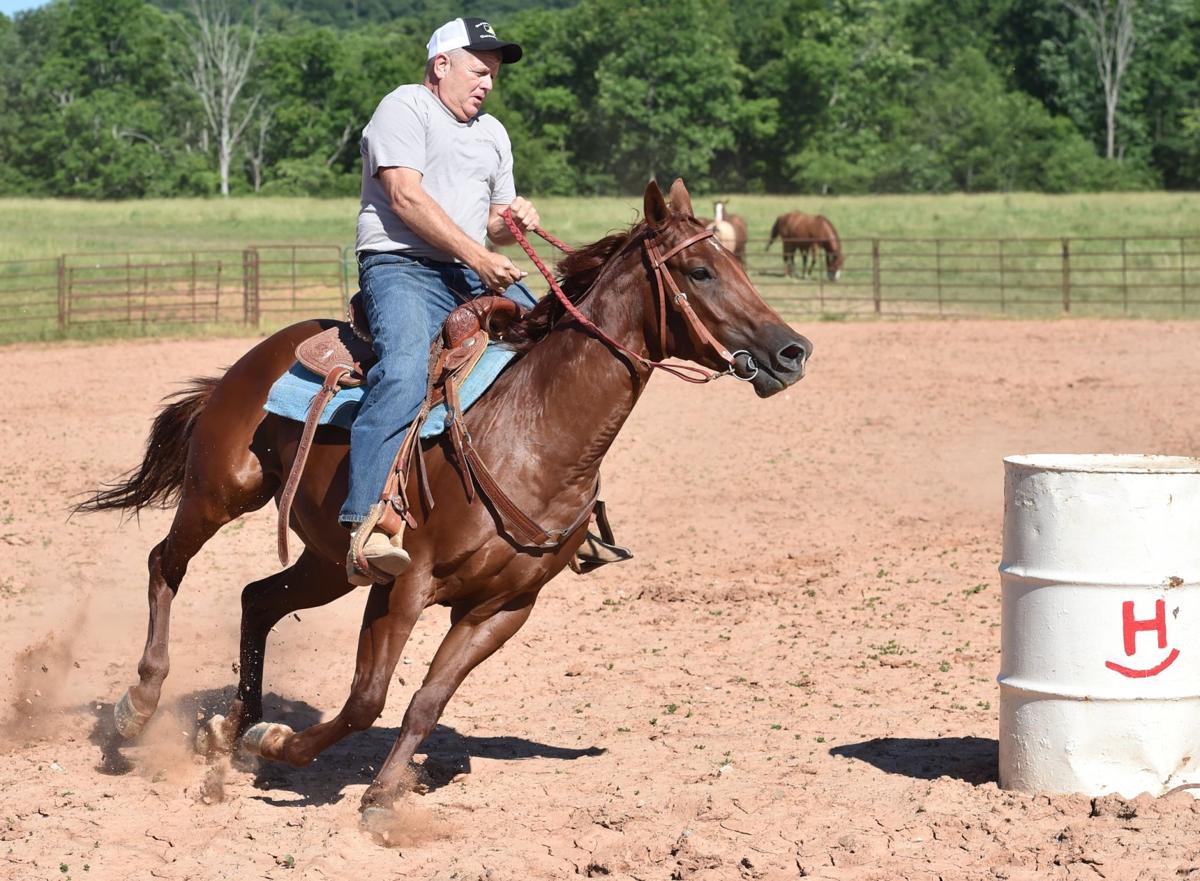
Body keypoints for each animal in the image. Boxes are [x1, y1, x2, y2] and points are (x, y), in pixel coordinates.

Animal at [76, 179, 812, 827]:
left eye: (735, 261)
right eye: (699, 270)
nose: (793, 350)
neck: (534, 433)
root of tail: (259, 355)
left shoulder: (502, 607)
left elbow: (425, 702)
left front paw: (378, 795)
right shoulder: (404, 586)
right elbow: (366, 699)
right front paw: (280, 743)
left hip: (329, 560)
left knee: (257, 598)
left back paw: (228, 727)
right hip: (220, 492)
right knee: (165, 563)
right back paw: (140, 704)